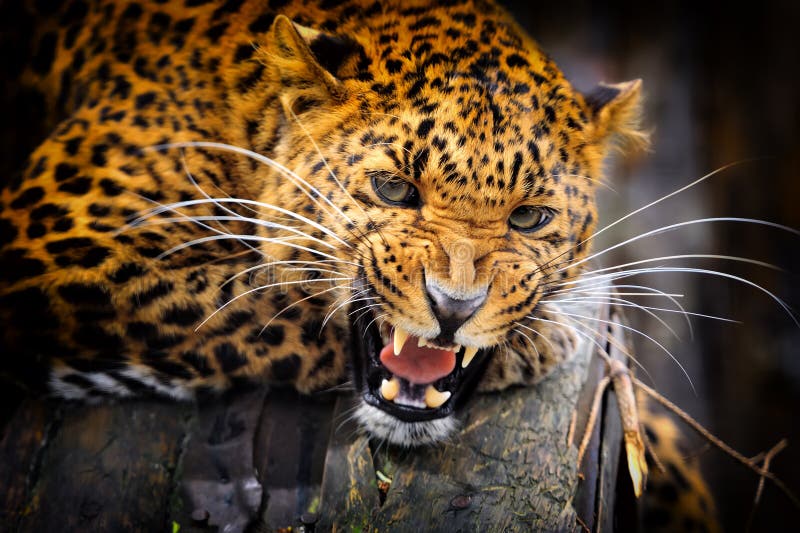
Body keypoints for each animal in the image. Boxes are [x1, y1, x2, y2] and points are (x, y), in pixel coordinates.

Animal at [0, 0, 717, 530]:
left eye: (530, 218)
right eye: (395, 189)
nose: (454, 308)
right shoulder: (59, 241)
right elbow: (252, 302)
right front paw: (541, 343)